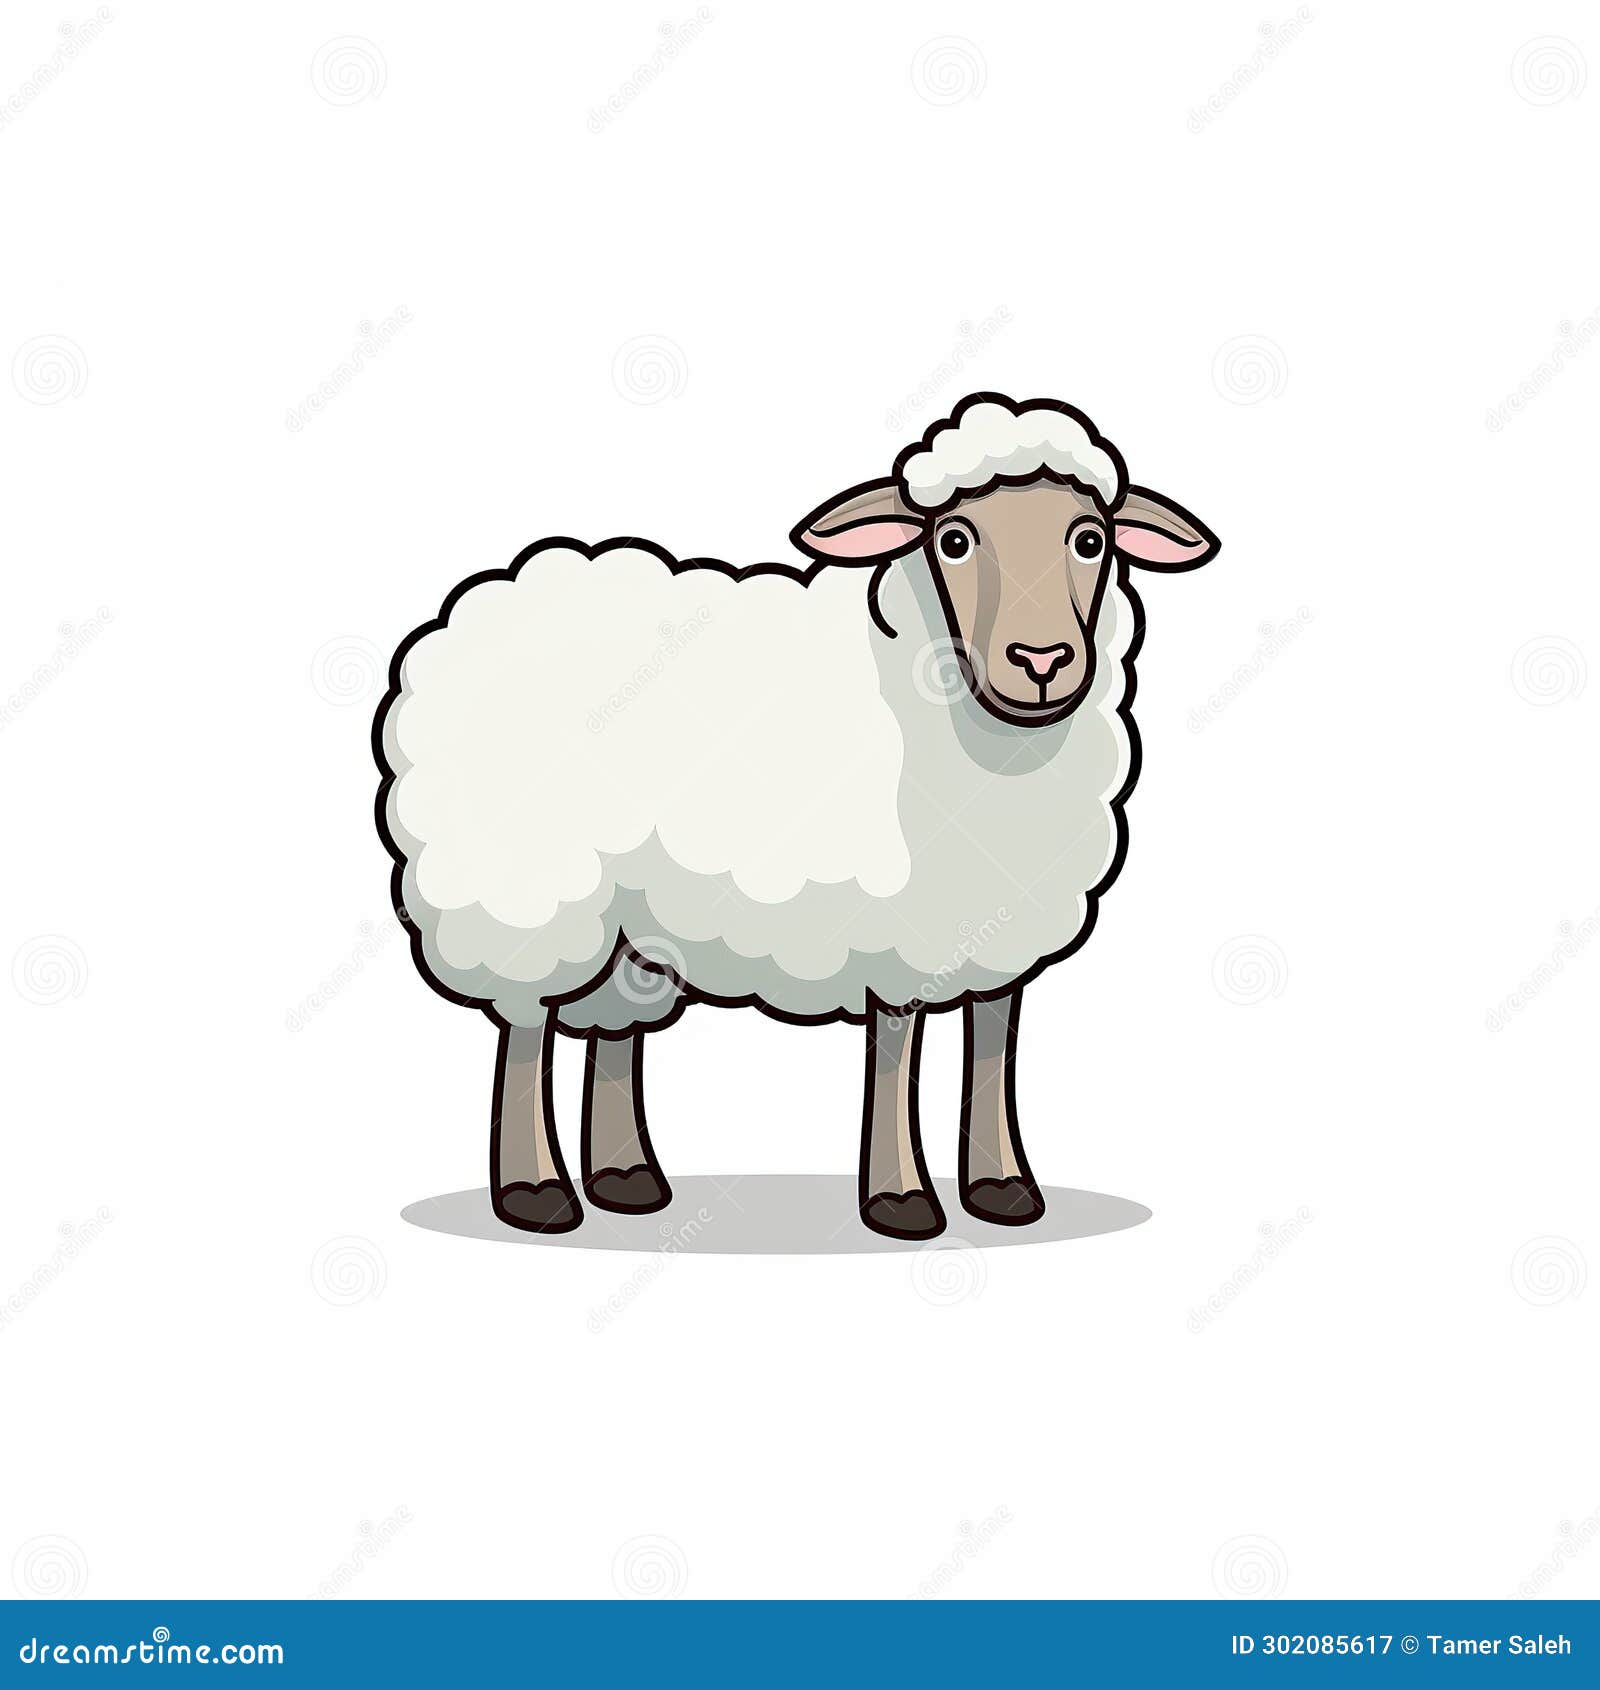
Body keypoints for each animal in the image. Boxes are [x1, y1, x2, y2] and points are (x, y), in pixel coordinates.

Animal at [375, 392, 1218, 1240]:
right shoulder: (897, 936)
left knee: (615, 1032)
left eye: (1090, 539)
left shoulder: (996, 933)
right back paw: (536, 1191)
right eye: (952, 539)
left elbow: (992, 1051)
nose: (1041, 661)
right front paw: (900, 1198)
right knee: (524, 1032)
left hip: (629, 930)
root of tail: (491, 601)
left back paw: (627, 1178)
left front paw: (1003, 1188)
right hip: (527, 901)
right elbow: (896, 1054)